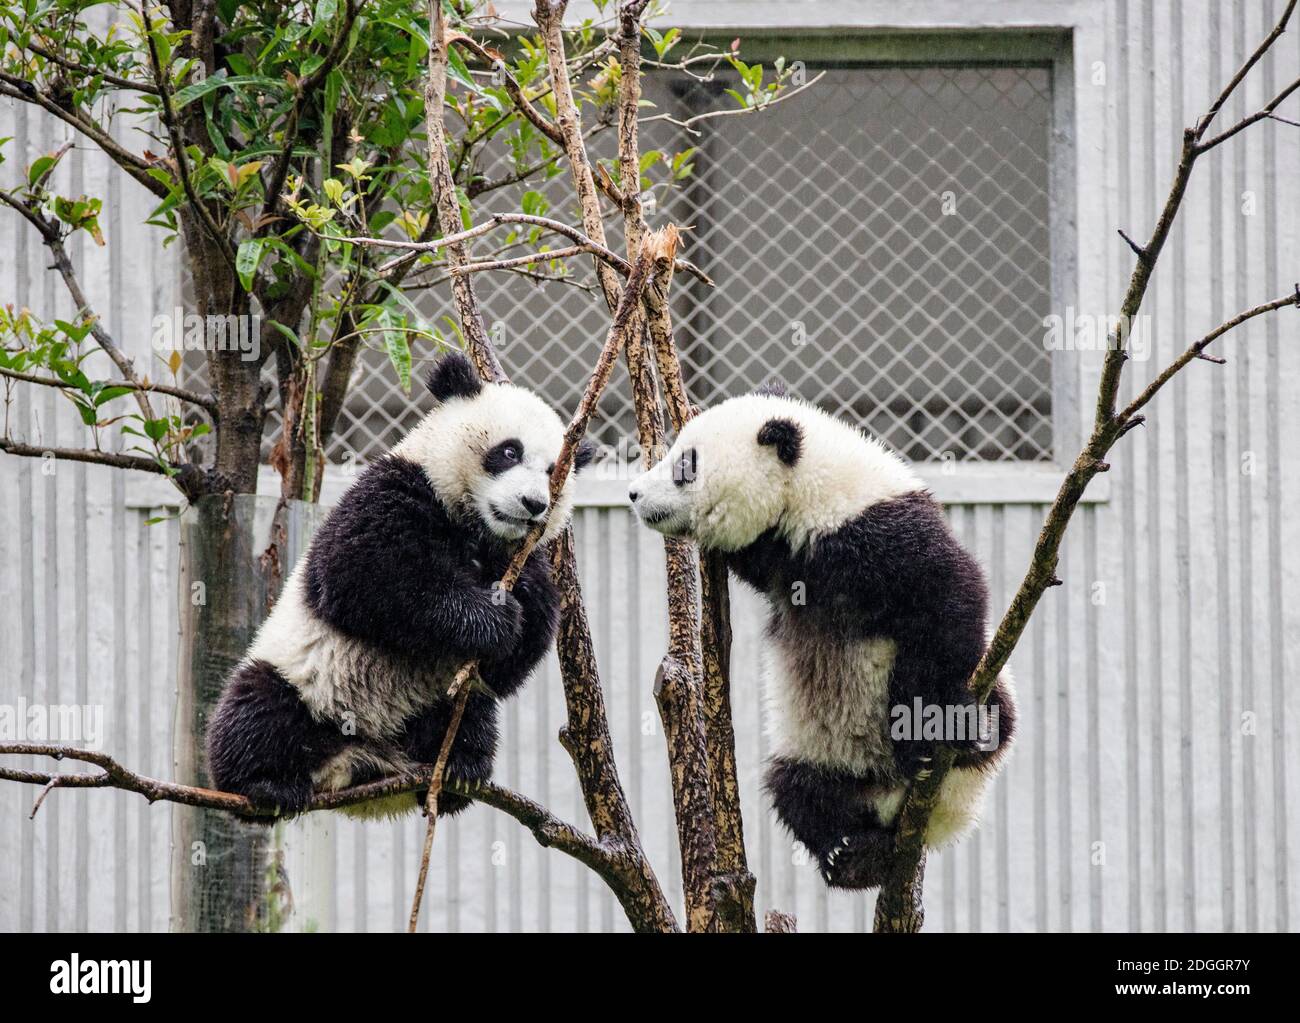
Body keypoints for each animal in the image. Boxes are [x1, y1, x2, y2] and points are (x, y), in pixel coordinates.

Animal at [207, 351, 593, 820]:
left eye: (555, 472)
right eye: (509, 451)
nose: (533, 504)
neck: (475, 527)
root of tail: (356, 770)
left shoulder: (514, 557)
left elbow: (508, 667)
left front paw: (525, 600)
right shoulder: (393, 488)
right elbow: (367, 577)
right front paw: (492, 616)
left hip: (435, 703)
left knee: (476, 713)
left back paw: (460, 771)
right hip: (301, 680)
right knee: (257, 712)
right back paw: (264, 786)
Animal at [627, 383, 1016, 889]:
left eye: (685, 465)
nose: (633, 493)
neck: (813, 493)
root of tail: (894, 802)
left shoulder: (882, 529)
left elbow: (948, 599)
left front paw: (931, 724)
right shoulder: (780, 555)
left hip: (989, 708)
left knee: (995, 720)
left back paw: (949, 744)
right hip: (815, 753)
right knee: (798, 790)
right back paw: (851, 853)